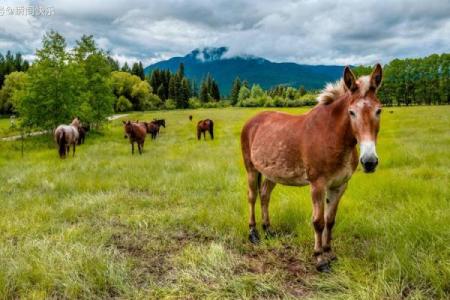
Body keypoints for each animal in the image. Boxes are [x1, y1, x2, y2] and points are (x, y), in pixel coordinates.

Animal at [241, 65, 384, 272]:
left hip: (271, 173)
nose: (370, 161)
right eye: (351, 112)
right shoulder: (318, 185)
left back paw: (268, 230)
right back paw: (253, 233)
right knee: (252, 197)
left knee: (265, 196)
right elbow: (318, 222)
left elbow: (330, 221)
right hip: (251, 169)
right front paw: (319, 258)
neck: (332, 136)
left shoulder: (339, 186)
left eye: (379, 110)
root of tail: (253, 120)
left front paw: (329, 252)